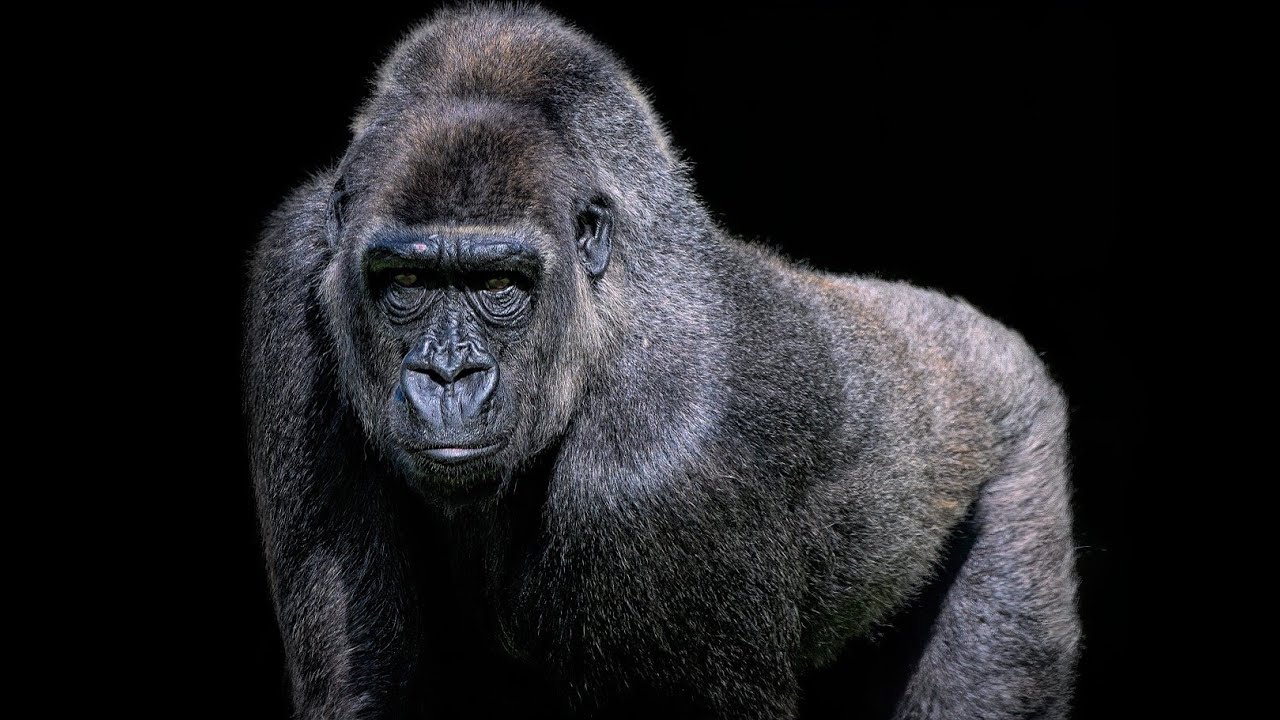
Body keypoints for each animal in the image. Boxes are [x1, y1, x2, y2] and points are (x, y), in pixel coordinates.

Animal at [245, 5, 1079, 719]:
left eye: (499, 286)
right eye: (408, 283)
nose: (448, 377)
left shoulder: (662, 477)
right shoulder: (293, 272)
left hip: (1022, 452)